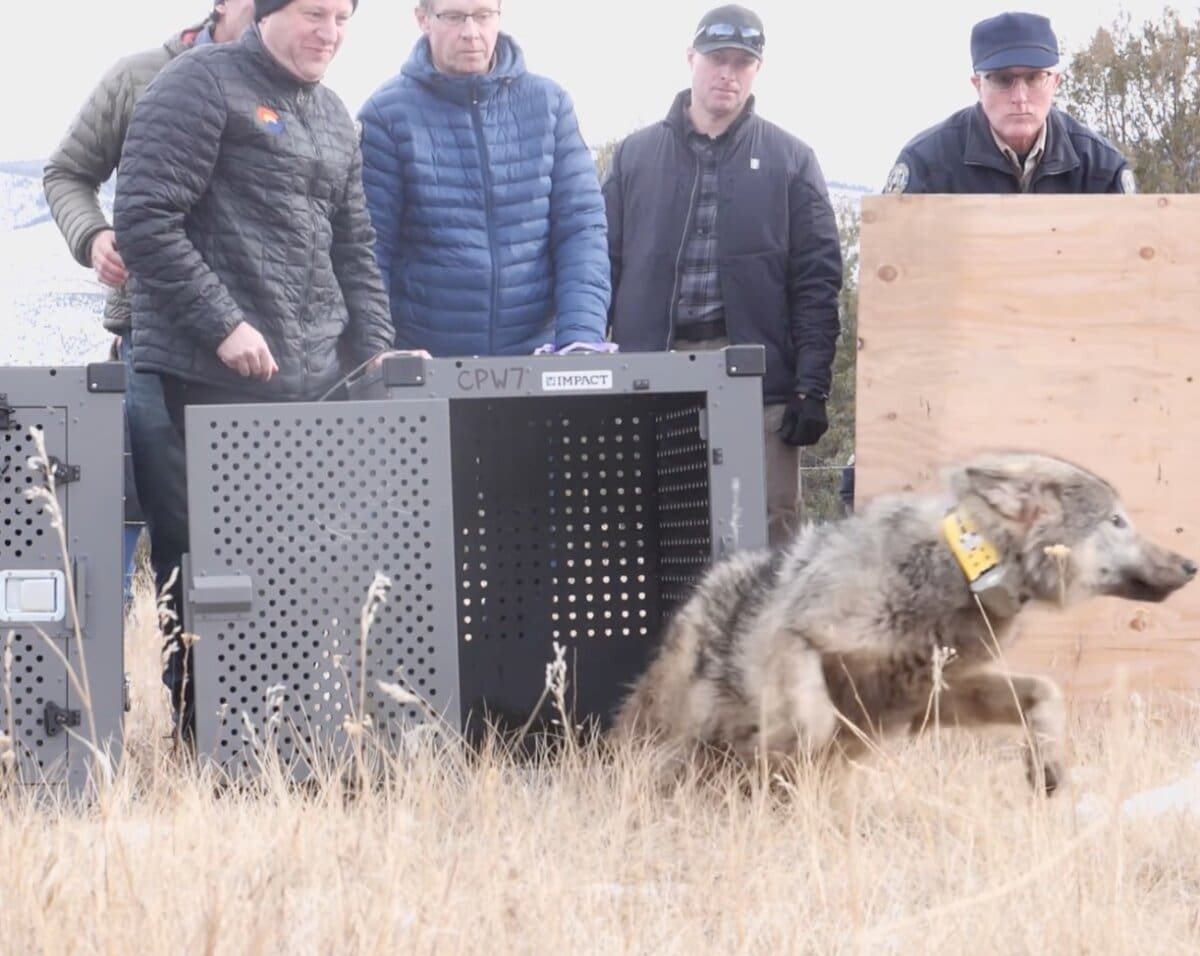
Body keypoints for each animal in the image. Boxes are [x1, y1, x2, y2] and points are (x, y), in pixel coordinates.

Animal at [616, 452, 1196, 791]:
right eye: (1117, 521)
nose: (1190, 565)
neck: (963, 568)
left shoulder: (926, 698)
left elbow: (1044, 691)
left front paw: (1047, 766)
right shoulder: (800, 637)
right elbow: (814, 718)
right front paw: (788, 744)